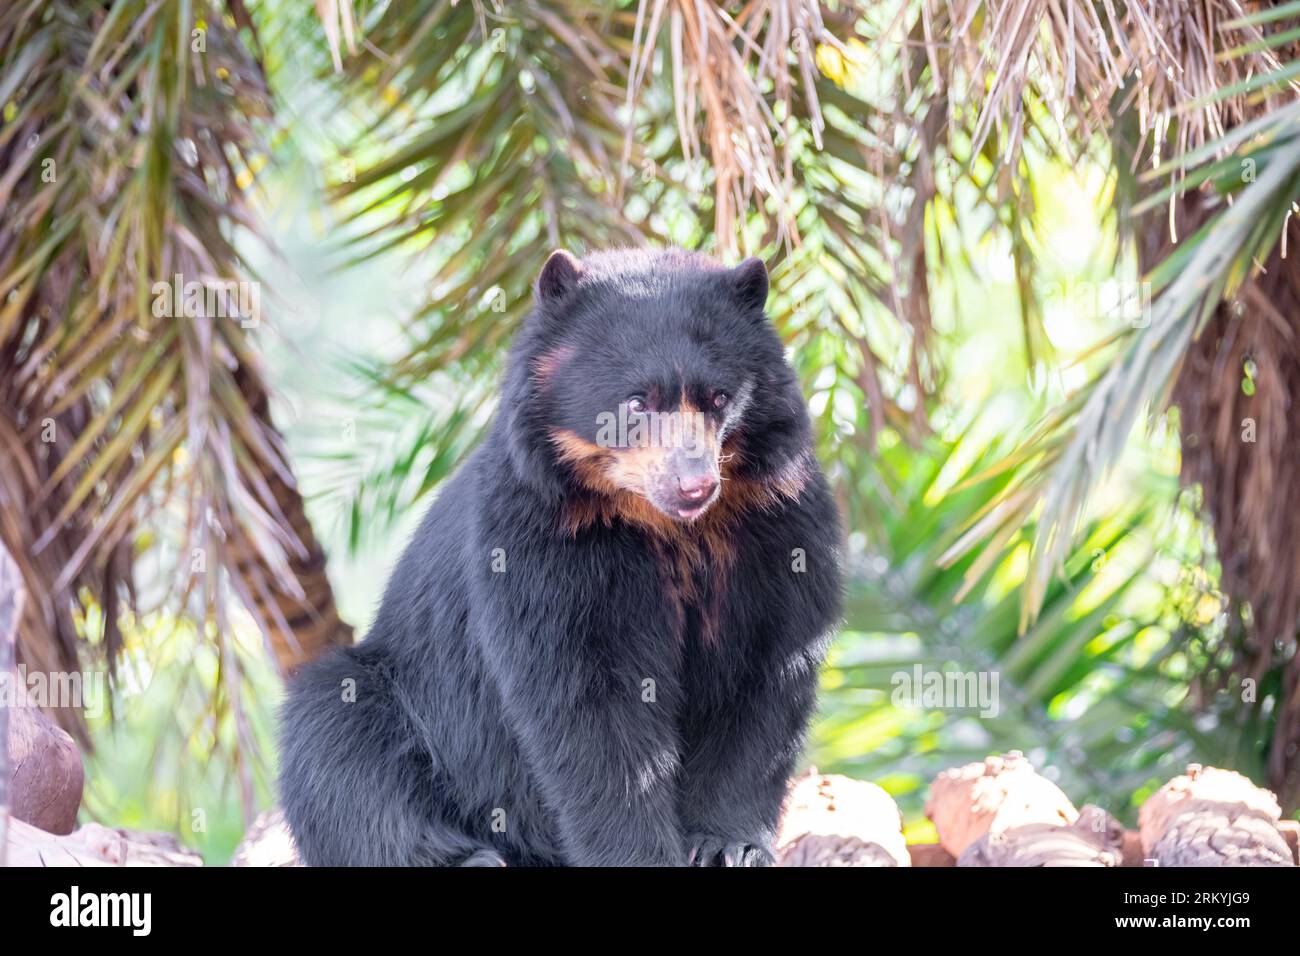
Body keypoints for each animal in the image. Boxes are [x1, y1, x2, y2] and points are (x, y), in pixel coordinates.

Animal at [278, 247, 843, 866]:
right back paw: (472, 857)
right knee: (336, 747)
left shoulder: (776, 528)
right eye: (636, 402)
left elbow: (765, 679)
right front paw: (638, 854)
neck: (665, 526)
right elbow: (586, 705)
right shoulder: (540, 548)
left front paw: (726, 845)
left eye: (719, 398)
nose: (694, 486)